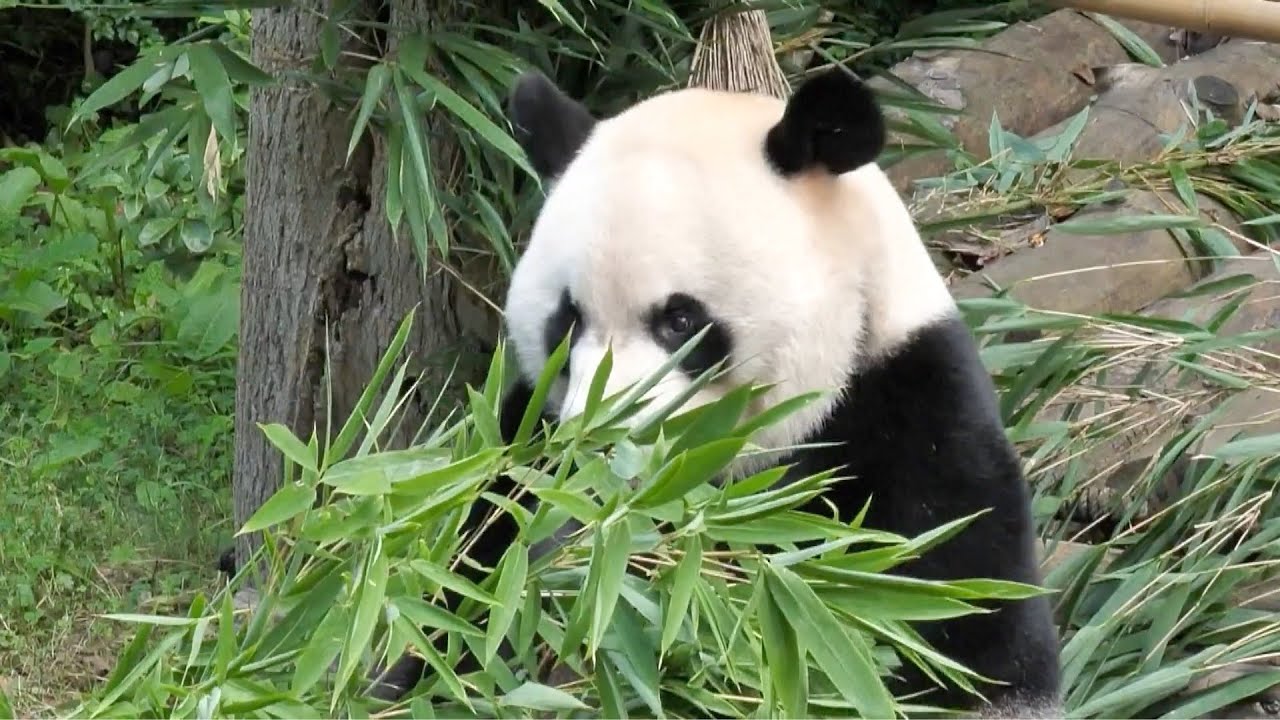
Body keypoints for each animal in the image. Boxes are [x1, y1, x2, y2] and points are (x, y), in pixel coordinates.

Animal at [373, 66, 1063, 718]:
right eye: (567, 322)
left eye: (680, 321)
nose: (607, 443)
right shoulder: (523, 455)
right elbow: (461, 601)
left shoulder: (912, 419)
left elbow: (957, 625)